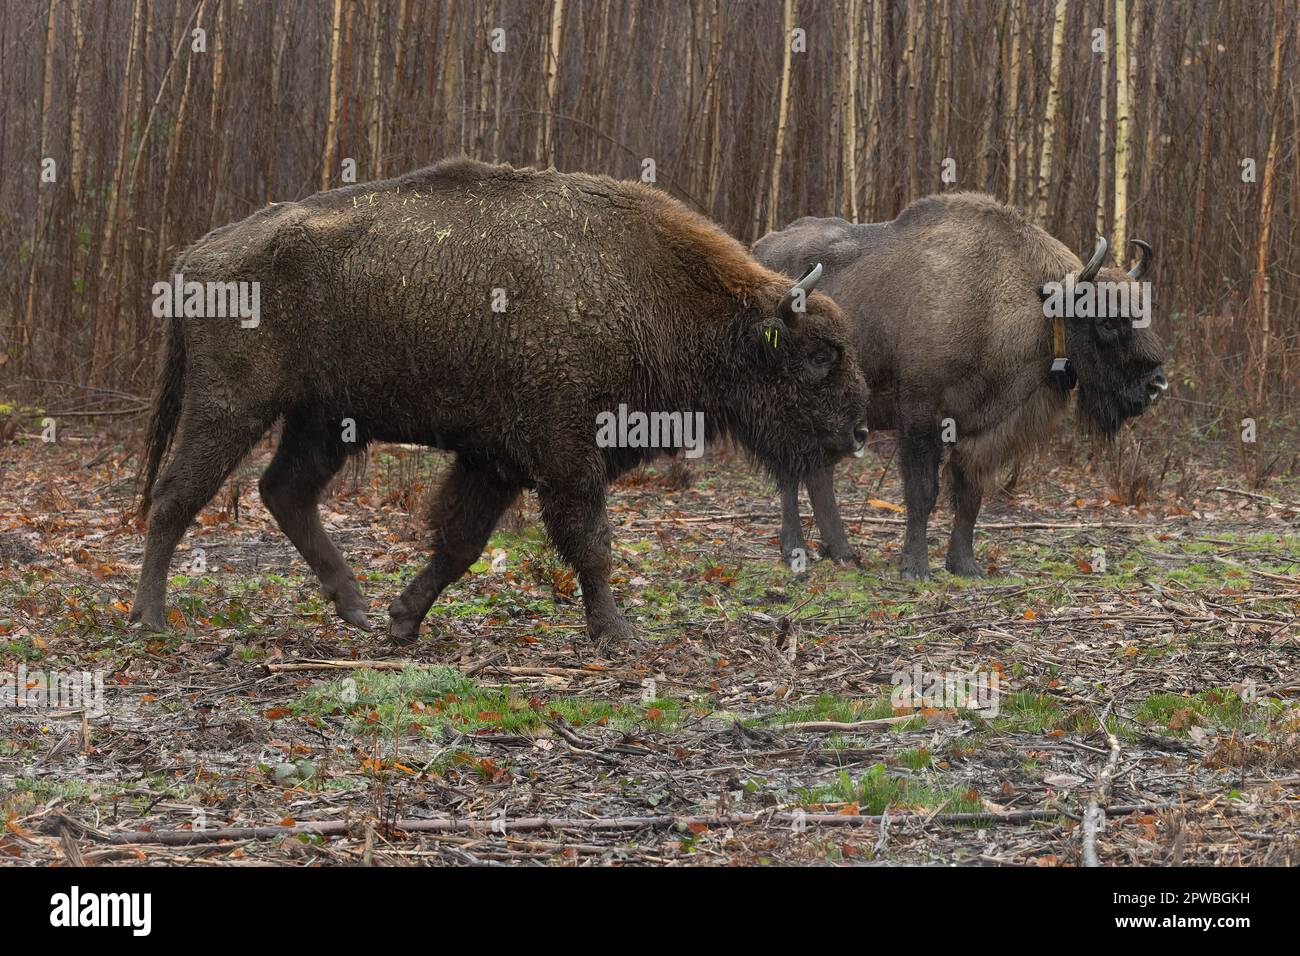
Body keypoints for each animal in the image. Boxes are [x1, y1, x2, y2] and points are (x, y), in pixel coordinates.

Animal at [131, 158, 870, 643]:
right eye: (817, 356)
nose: (858, 433)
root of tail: (197, 255)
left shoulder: (495, 461)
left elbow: (460, 543)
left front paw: (402, 621)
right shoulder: (567, 454)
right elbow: (589, 542)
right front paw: (617, 631)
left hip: (324, 420)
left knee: (285, 492)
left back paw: (356, 607)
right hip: (231, 406)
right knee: (175, 497)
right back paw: (150, 618)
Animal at [752, 191, 1166, 579]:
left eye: (1141, 310)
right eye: (1108, 321)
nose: (1156, 385)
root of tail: (759, 250)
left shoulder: (983, 429)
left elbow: (970, 496)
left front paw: (965, 565)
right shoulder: (920, 416)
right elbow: (923, 493)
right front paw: (916, 568)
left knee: (817, 475)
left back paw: (843, 552)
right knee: (790, 474)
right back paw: (794, 551)